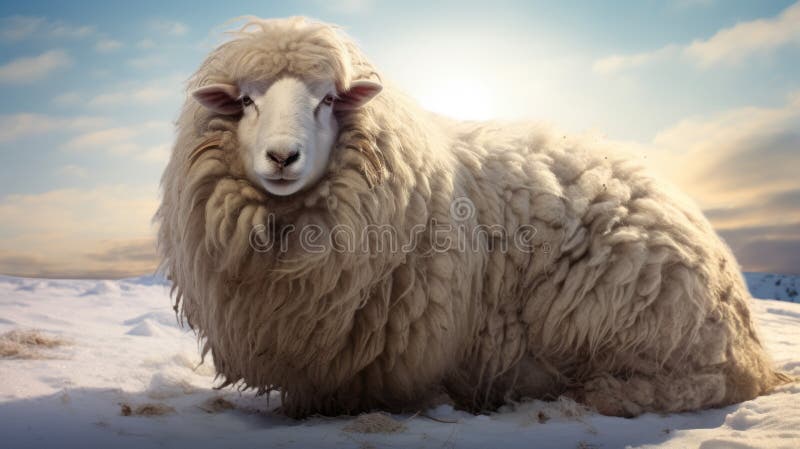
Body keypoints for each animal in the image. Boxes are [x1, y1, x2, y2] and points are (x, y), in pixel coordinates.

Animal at [156, 17, 789, 418]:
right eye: (246, 101)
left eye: (328, 100)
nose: (282, 157)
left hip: (637, 324)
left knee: (704, 384)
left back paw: (607, 395)